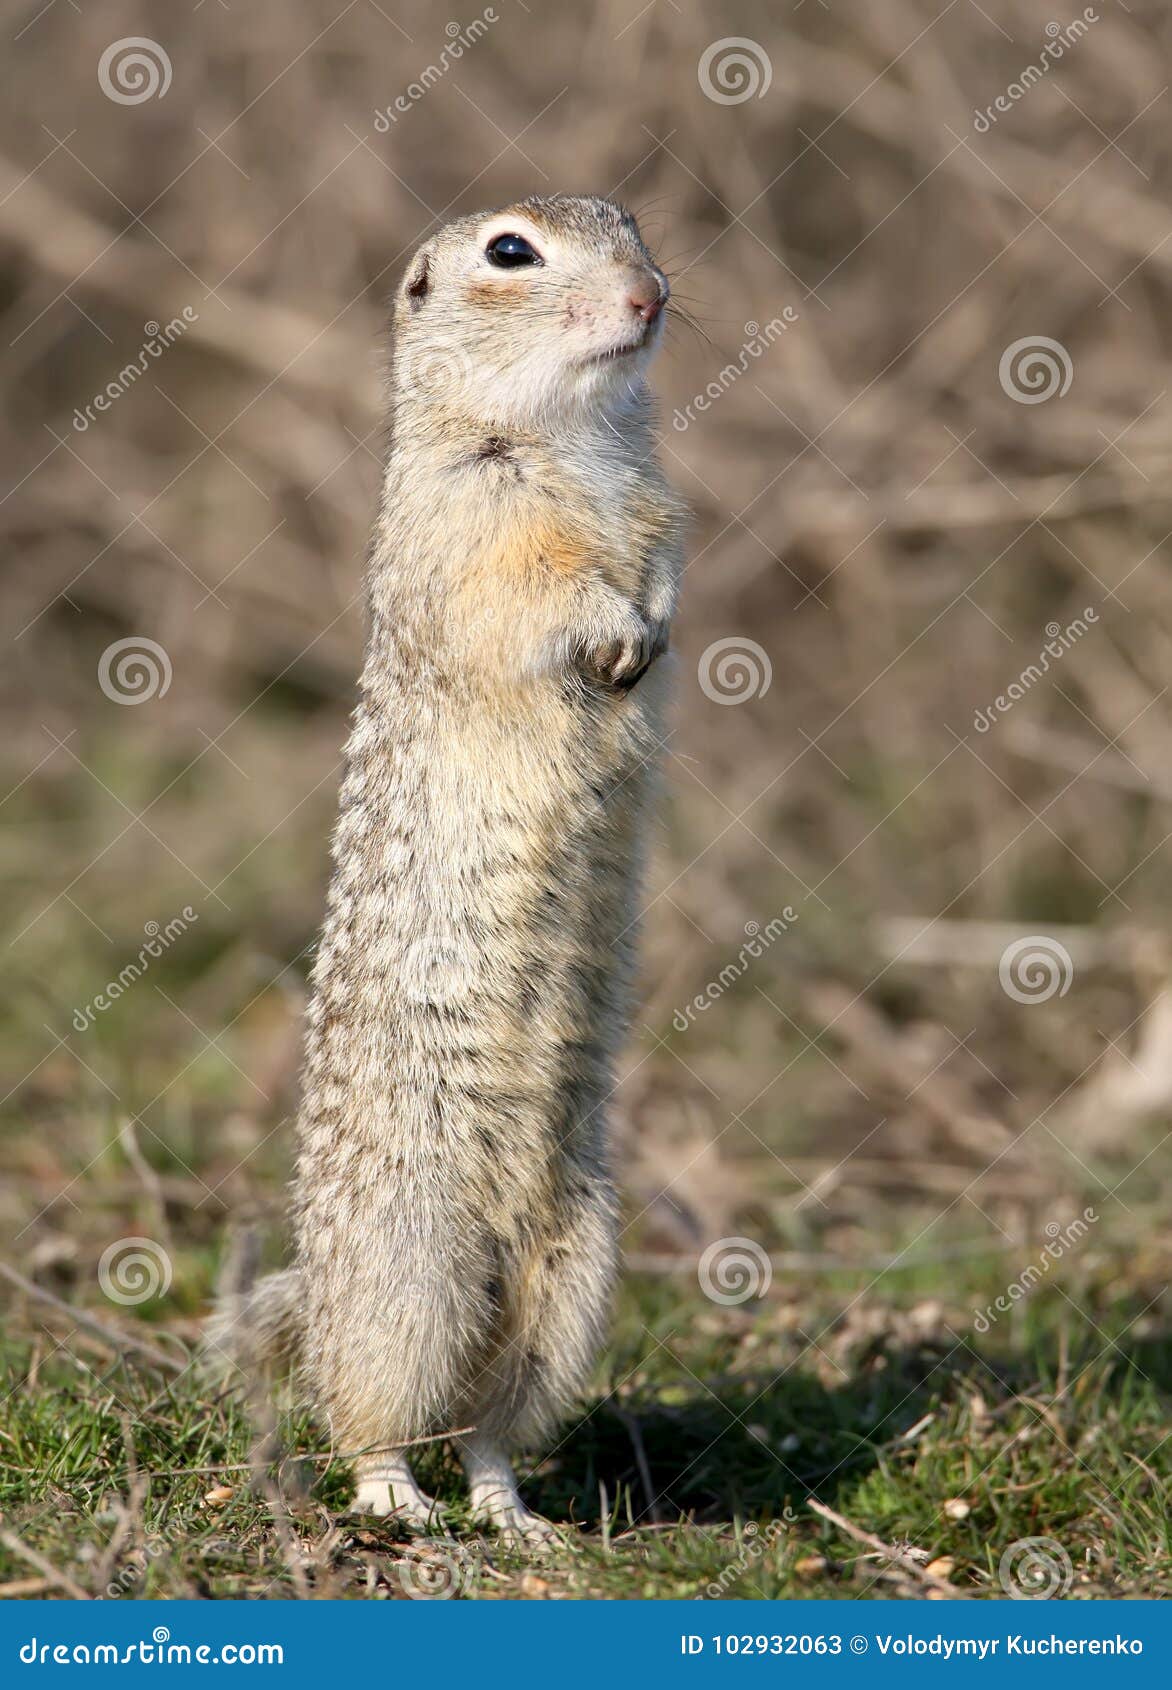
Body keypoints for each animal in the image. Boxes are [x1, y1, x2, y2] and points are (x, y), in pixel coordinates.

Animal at [209, 195, 685, 1541]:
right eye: (510, 252)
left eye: (629, 222)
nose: (652, 297)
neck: (565, 429)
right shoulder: (474, 531)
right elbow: (535, 591)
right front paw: (614, 631)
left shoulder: (655, 510)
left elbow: (661, 566)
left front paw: (656, 624)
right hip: (408, 1269)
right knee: (373, 1413)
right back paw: (400, 1503)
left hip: (574, 1278)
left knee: (484, 1422)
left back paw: (511, 1510)